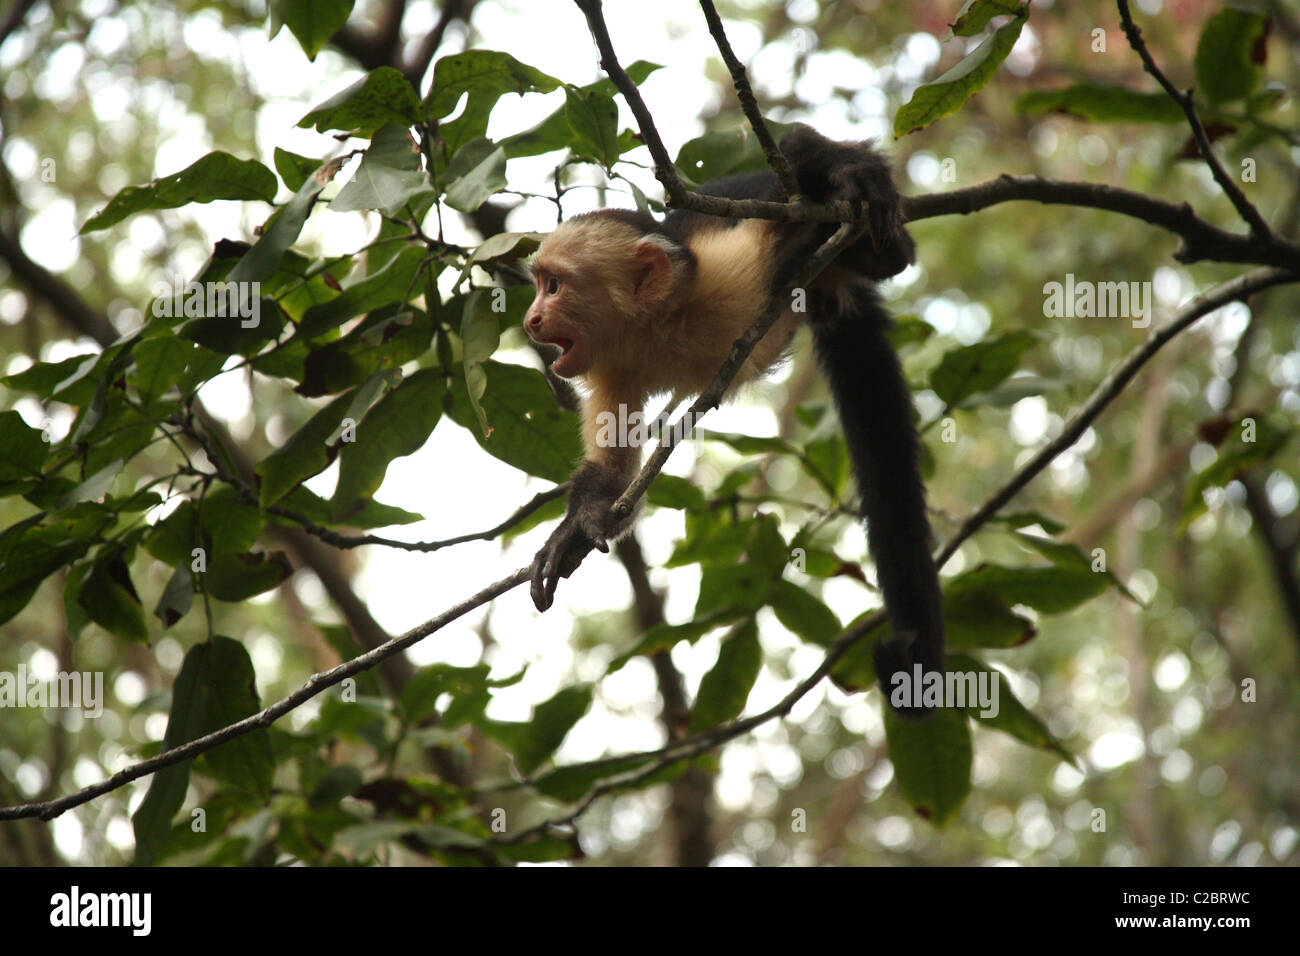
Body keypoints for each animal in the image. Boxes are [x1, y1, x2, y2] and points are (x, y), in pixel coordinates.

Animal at [521, 125, 943, 716]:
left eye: (554, 286)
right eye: (538, 285)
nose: (530, 319)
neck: (656, 326)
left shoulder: (729, 261)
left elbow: (796, 153)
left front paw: (852, 175)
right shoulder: (610, 368)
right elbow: (611, 477)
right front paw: (575, 529)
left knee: (849, 228)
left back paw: (865, 224)